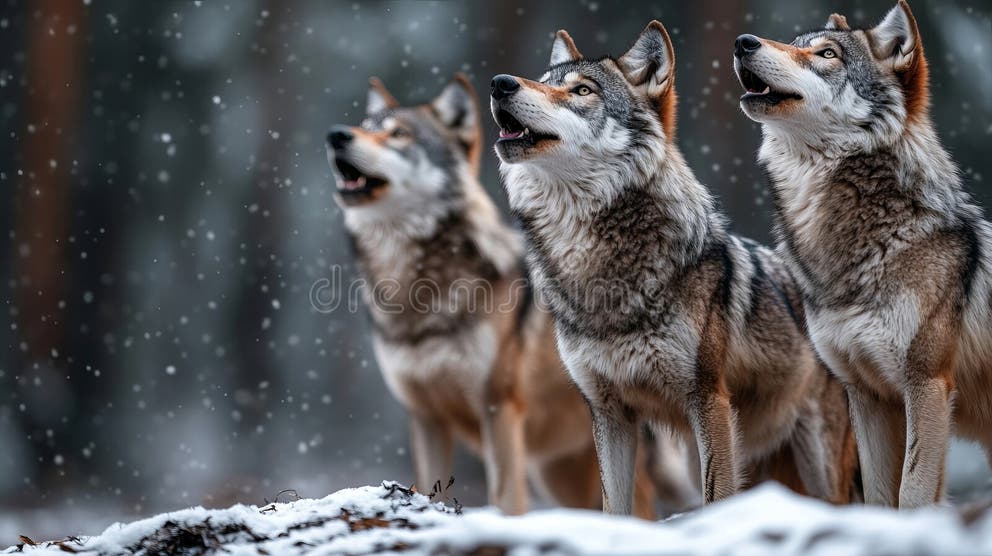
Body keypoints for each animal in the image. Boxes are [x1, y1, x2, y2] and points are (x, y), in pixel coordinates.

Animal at [324, 74, 688, 516]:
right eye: (364, 126)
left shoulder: (499, 408)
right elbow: (431, 487)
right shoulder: (425, 418)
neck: (415, 292)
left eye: (398, 135)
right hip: (561, 475)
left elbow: (505, 498)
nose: (337, 135)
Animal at [491, 22, 859, 513]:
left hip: (820, 464)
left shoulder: (708, 401)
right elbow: (614, 508)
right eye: (543, 81)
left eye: (582, 90)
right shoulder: (608, 412)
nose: (500, 83)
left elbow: (716, 495)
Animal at [734, 0, 992, 508]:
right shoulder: (866, 394)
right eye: (794, 44)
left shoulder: (927, 386)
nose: (742, 42)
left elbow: (912, 494)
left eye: (826, 54)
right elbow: (878, 497)